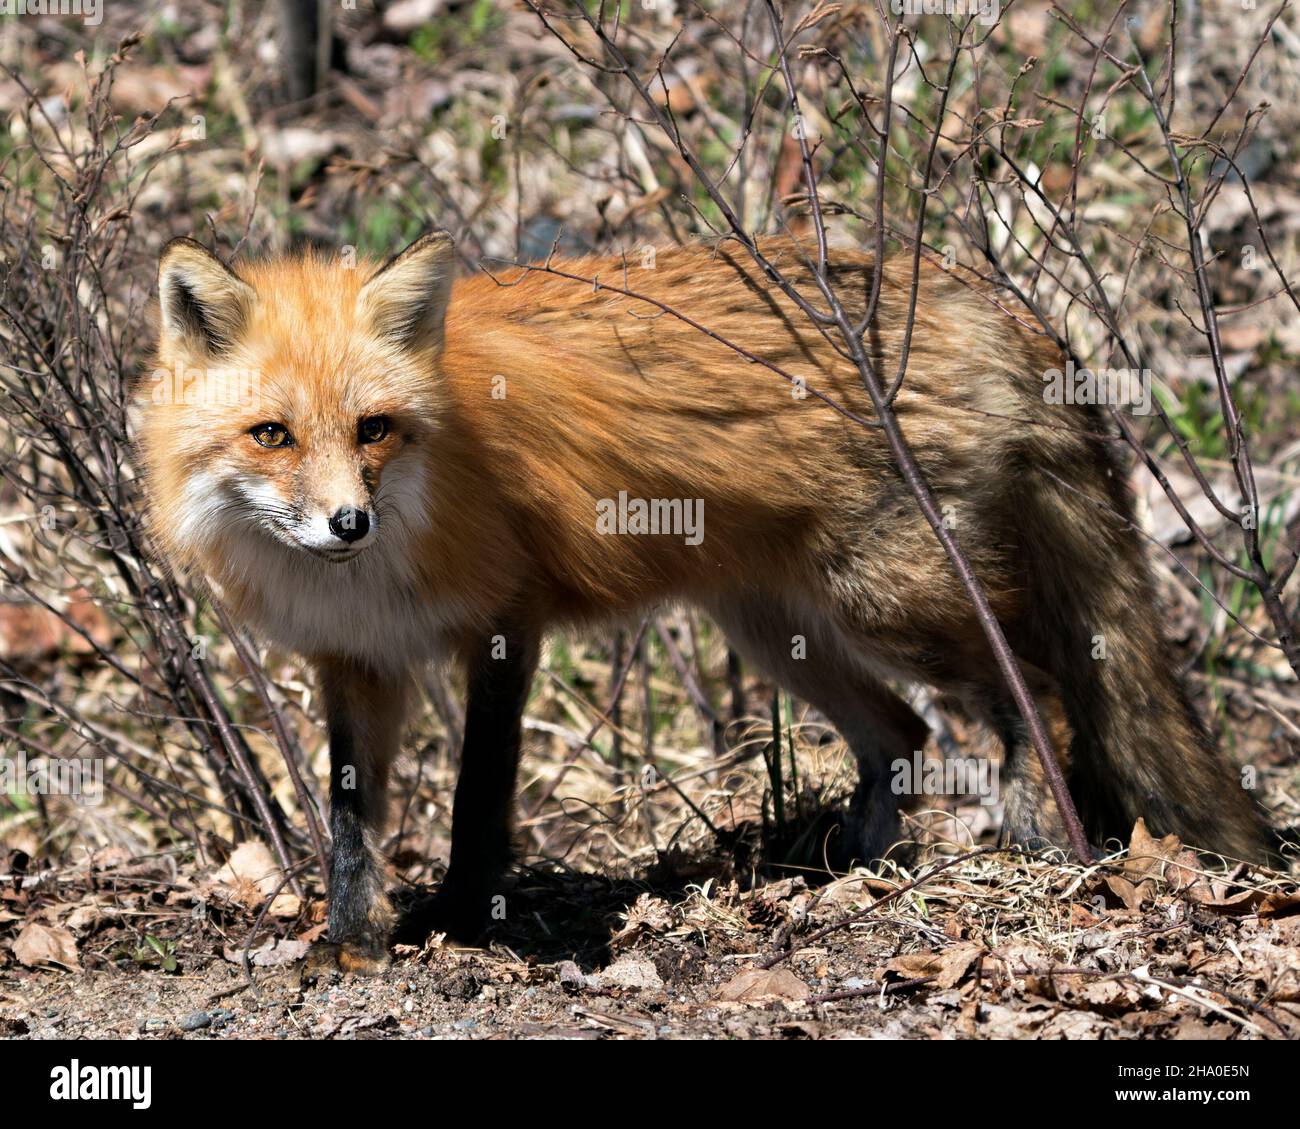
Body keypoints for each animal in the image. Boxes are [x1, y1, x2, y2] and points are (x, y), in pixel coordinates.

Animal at [139, 230, 1273, 974]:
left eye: (374, 428)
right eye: (273, 435)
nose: (348, 525)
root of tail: (985, 295)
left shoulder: (508, 623)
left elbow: (476, 795)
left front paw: (463, 918)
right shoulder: (355, 660)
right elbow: (347, 820)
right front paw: (350, 942)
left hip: (891, 597)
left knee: (1034, 690)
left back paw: (1039, 836)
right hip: (778, 628)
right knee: (903, 733)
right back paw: (858, 869)